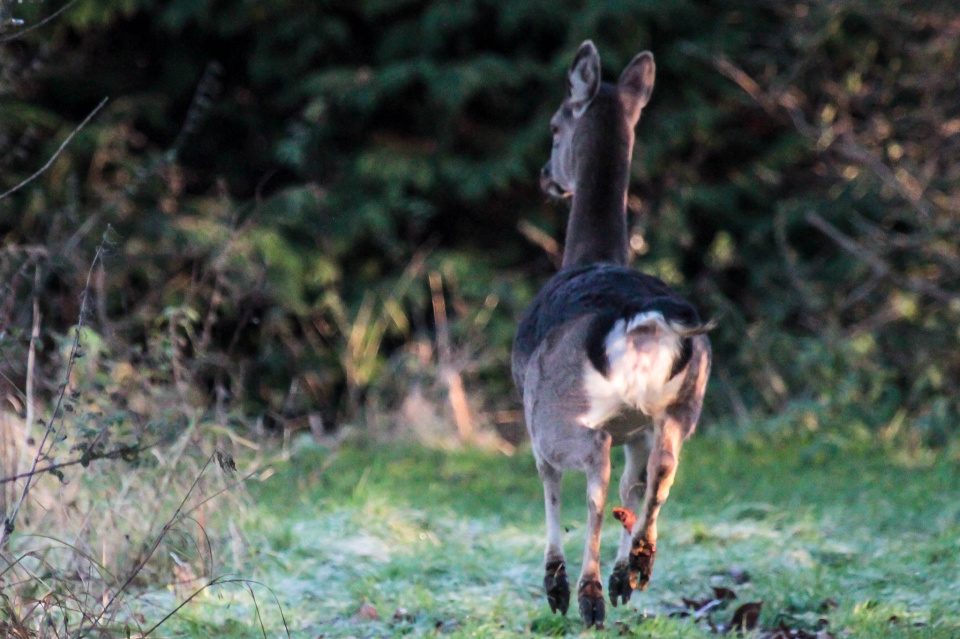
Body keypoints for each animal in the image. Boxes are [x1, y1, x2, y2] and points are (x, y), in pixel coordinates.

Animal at [512, 41, 712, 629]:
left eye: (556, 125)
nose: (545, 175)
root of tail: (642, 320)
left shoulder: (536, 418)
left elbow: (550, 486)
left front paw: (555, 582)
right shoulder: (638, 426)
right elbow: (636, 481)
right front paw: (624, 574)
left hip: (563, 409)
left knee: (594, 478)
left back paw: (586, 592)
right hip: (683, 402)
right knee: (662, 468)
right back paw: (636, 567)